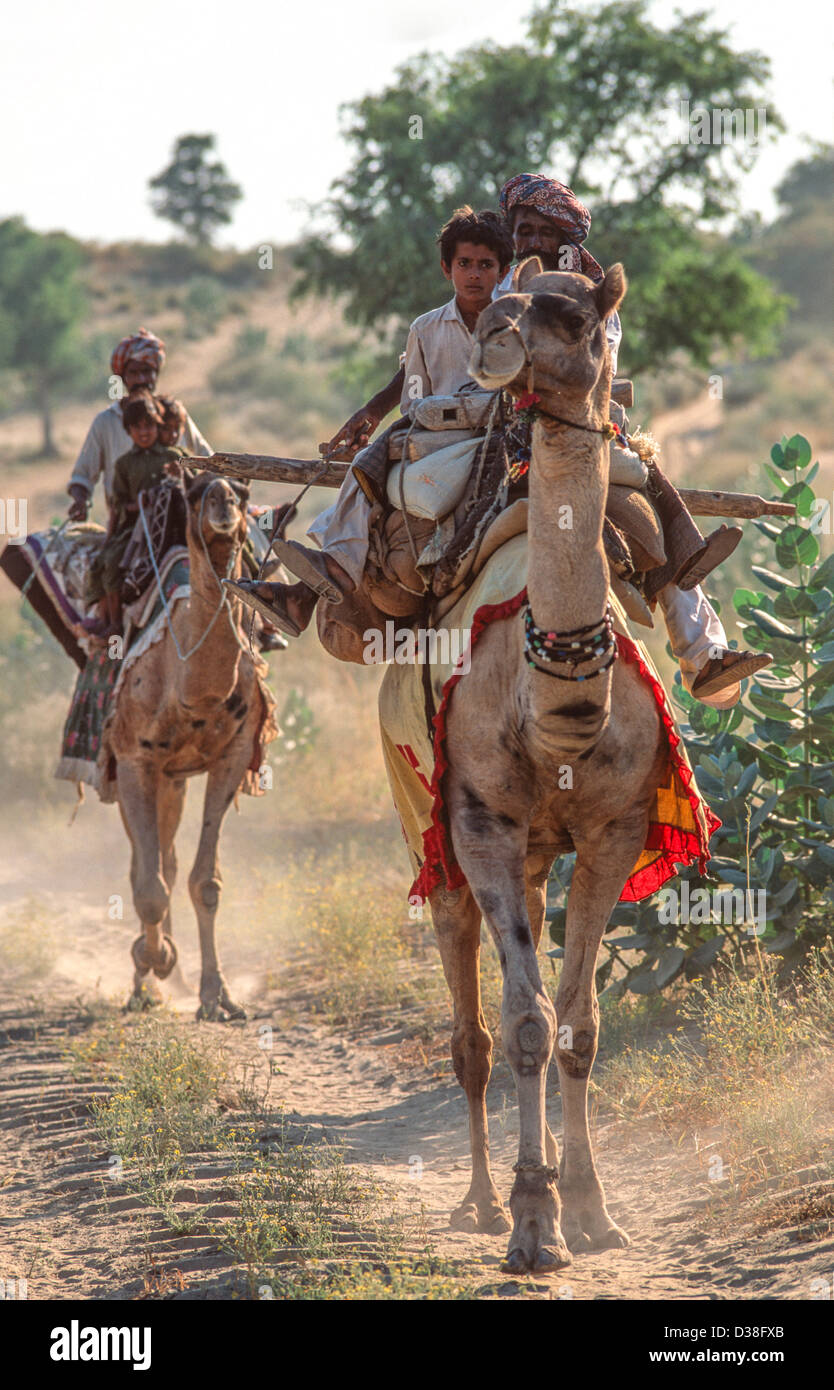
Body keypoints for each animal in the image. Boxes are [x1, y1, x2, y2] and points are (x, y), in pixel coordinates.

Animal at [104, 473, 272, 1019]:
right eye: (196, 491)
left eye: (244, 493)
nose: (223, 500)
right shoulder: (134, 760)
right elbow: (147, 887)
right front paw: (153, 961)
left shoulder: (233, 758)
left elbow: (206, 882)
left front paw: (218, 997)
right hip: (134, 773)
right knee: (145, 865)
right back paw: (145, 982)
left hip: (174, 780)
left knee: (170, 859)